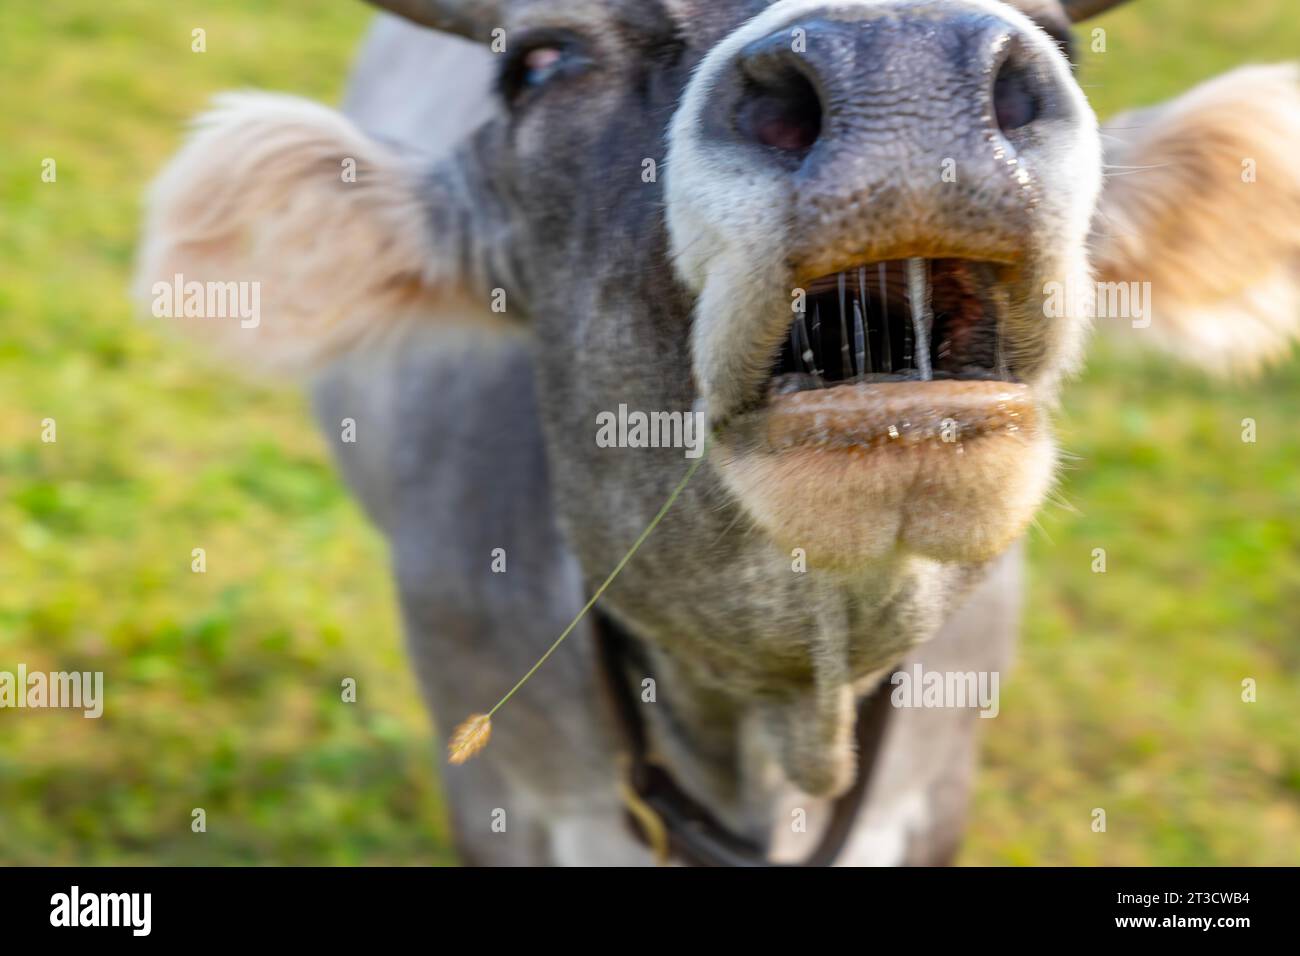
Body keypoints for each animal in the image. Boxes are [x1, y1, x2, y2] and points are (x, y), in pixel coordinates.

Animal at [136, 0, 1300, 865]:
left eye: (1064, 33)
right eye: (540, 61)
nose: (900, 58)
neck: (772, 737)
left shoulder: (934, 790)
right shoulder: (504, 791)